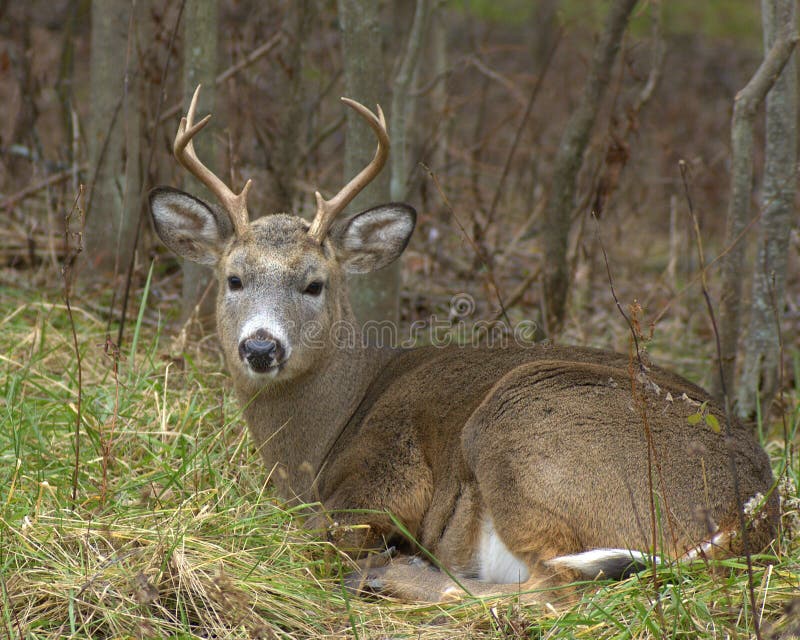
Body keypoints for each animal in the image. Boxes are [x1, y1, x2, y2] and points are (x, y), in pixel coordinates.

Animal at [149, 85, 778, 604]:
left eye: (314, 283)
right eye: (233, 278)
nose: (261, 348)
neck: (321, 439)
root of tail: (756, 511)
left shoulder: (388, 474)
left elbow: (309, 533)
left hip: (520, 417)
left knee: (552, 586)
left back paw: (392, 575)